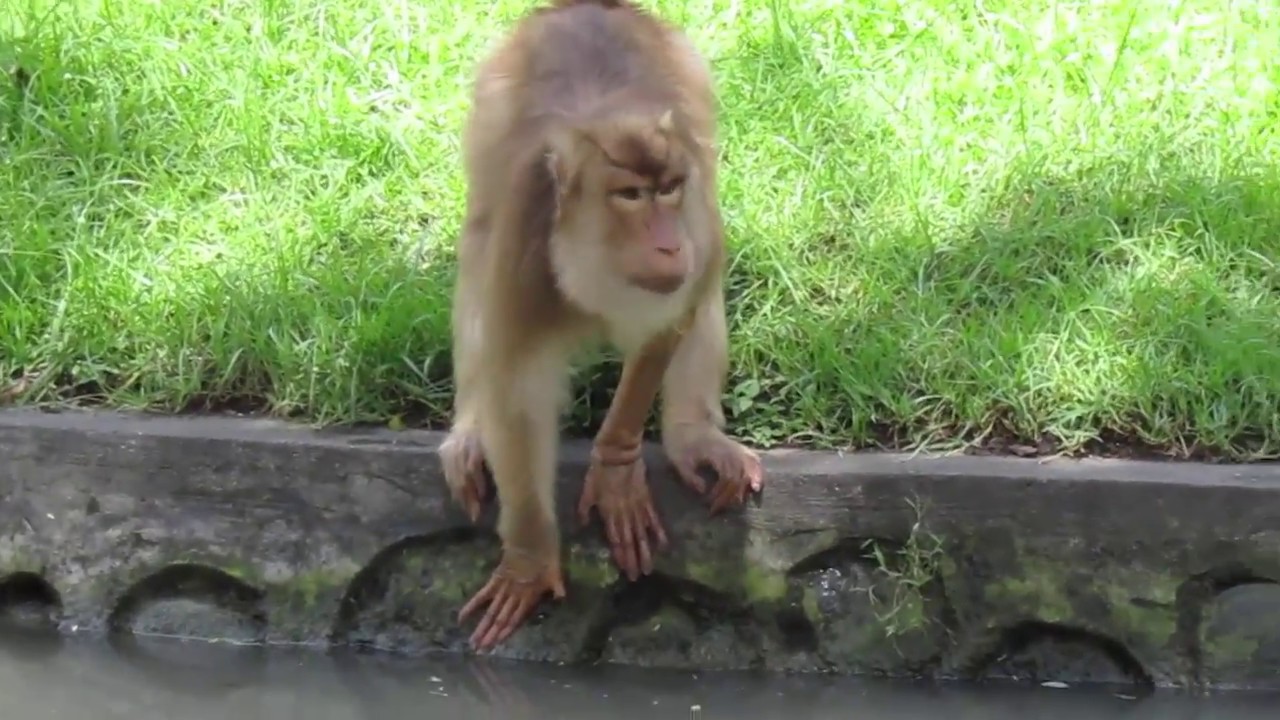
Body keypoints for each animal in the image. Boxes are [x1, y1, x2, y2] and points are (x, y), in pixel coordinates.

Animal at [436, 0, 765, 651]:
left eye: (668, 189)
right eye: (631, 195)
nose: (668, 245)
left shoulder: (696, 213)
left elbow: (673, 321)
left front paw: (614, 468)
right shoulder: (527, 233)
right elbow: (517, 388)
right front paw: (529, 560)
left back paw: (694, 435)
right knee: (477, 247)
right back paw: (471, 430)